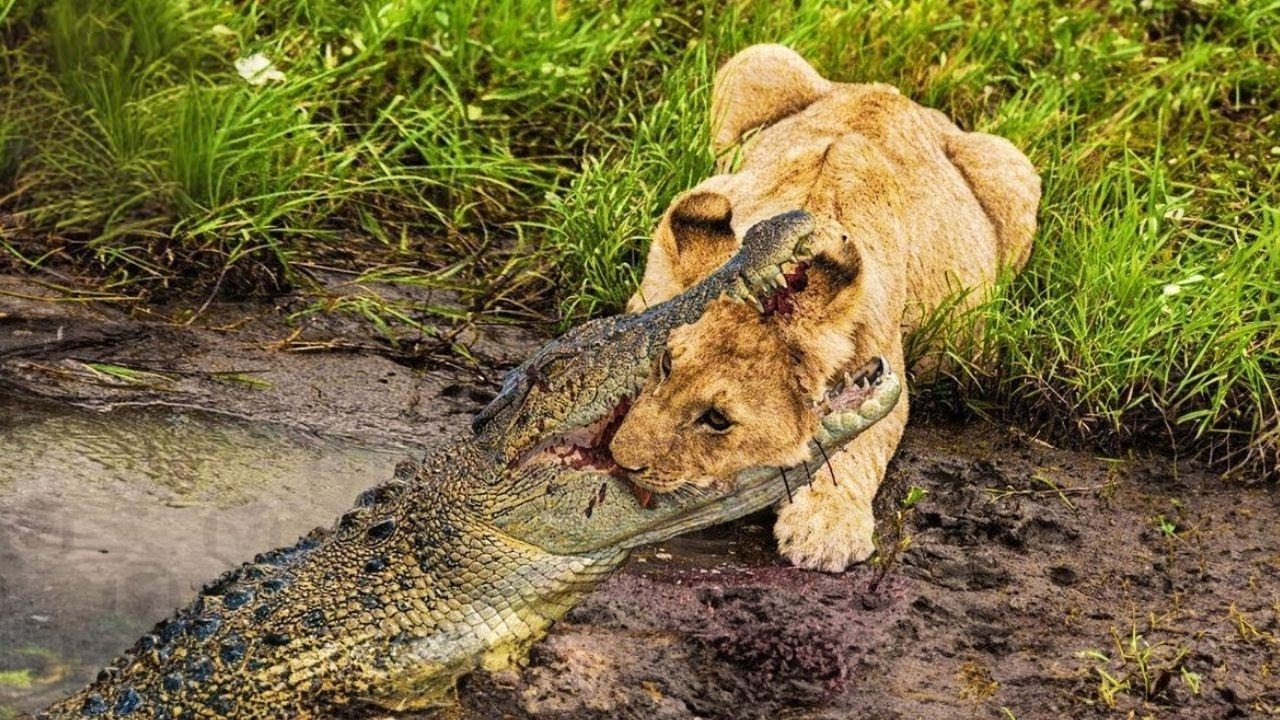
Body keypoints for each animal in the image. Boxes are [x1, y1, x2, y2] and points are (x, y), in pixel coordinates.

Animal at [607, 44, 1040, 572]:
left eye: (718, 419)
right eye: (667, 365)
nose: (620, 460)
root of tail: (895, 93)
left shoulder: (882, 365)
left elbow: (856, 439)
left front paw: (826, 525)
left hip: (1013, 169)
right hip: (762, 58)